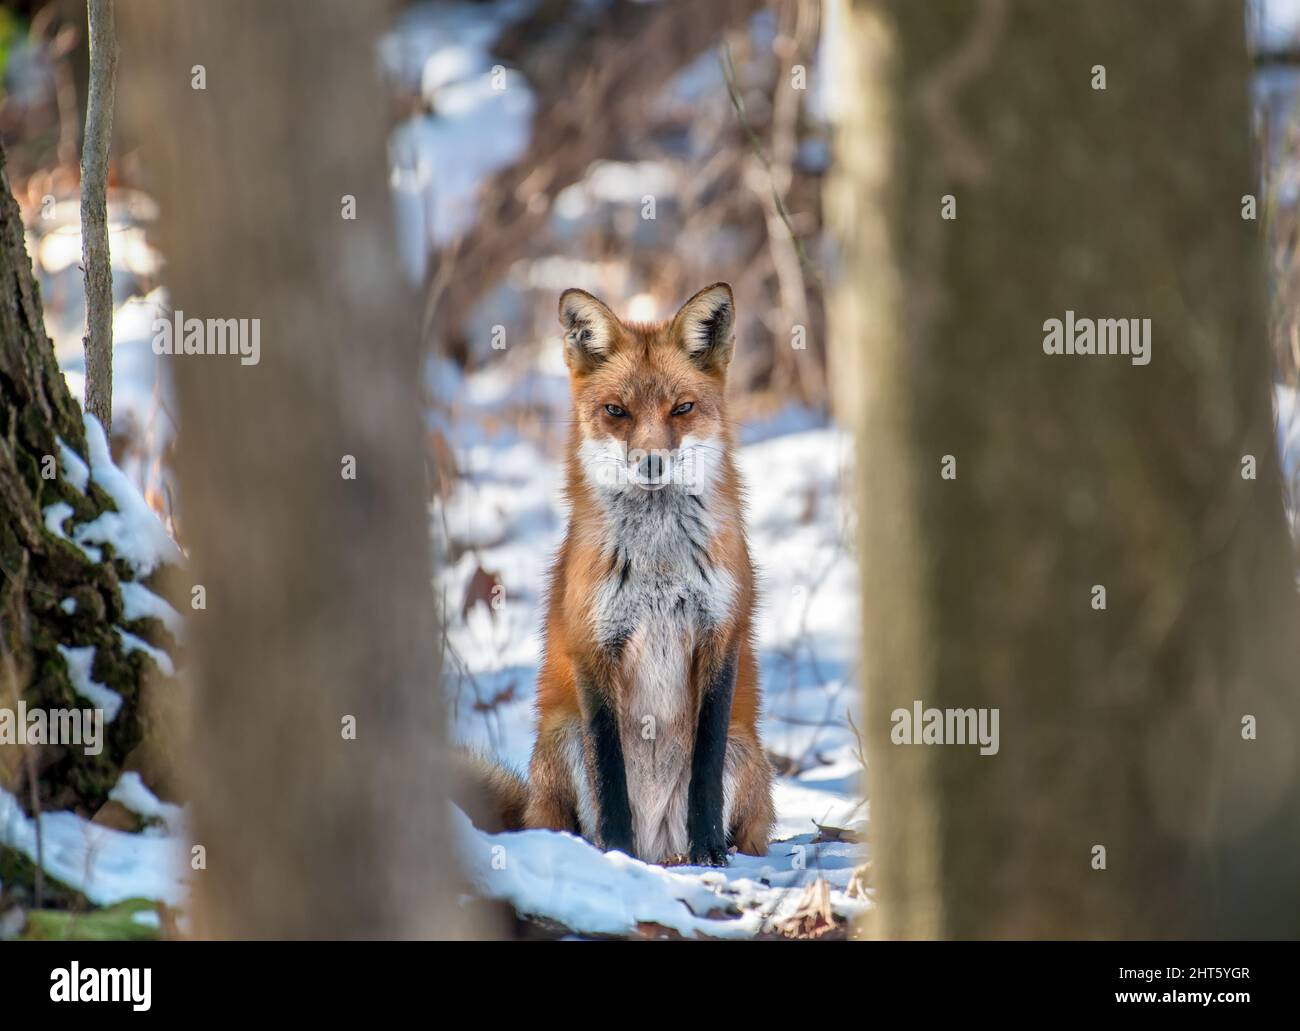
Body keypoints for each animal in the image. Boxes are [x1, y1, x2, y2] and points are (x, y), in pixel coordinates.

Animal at [470, 283, 774, 866]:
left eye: (682, 408)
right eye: (617, 411)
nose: (651, 462)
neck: (658, 559)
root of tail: (661, 850)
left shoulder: (721, 635)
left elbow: (704, 770)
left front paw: (710, 850)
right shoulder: (595, 645)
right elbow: (609, 771)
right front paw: (615, 852)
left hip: (745, 750)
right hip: (561, 738)